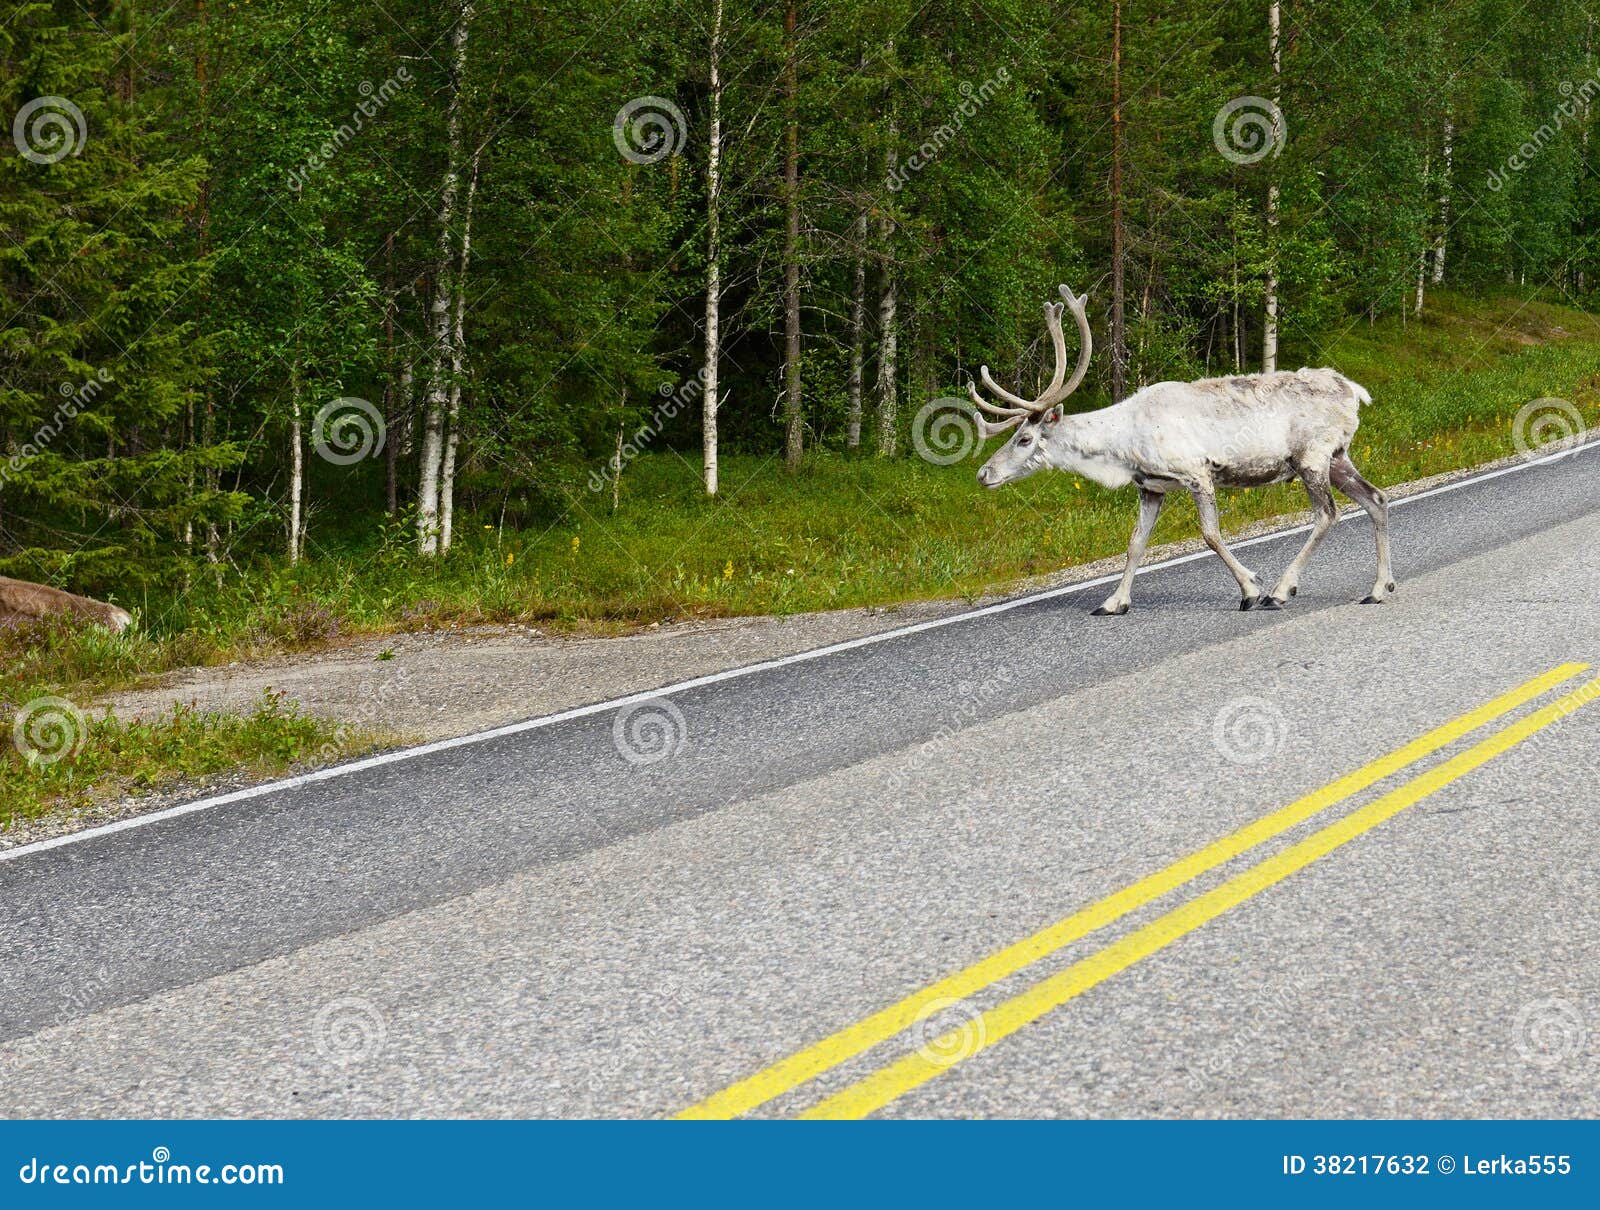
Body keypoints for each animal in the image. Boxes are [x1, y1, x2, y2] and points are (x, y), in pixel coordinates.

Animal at [965, 285, 1394, 615]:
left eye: (1024, 439)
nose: (983, 474)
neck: (1123, 448)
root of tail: (1354, 391)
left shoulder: (1197, 472)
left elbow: (1210, 535)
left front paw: (1251, 589)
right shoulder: (1151, 487)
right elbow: (1134, 544)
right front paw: (1114, 602)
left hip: (1311, 457)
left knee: (1327, 513)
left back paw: (1281, 590)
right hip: (1338, 457)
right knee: (1376, 498)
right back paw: (1379, 588)